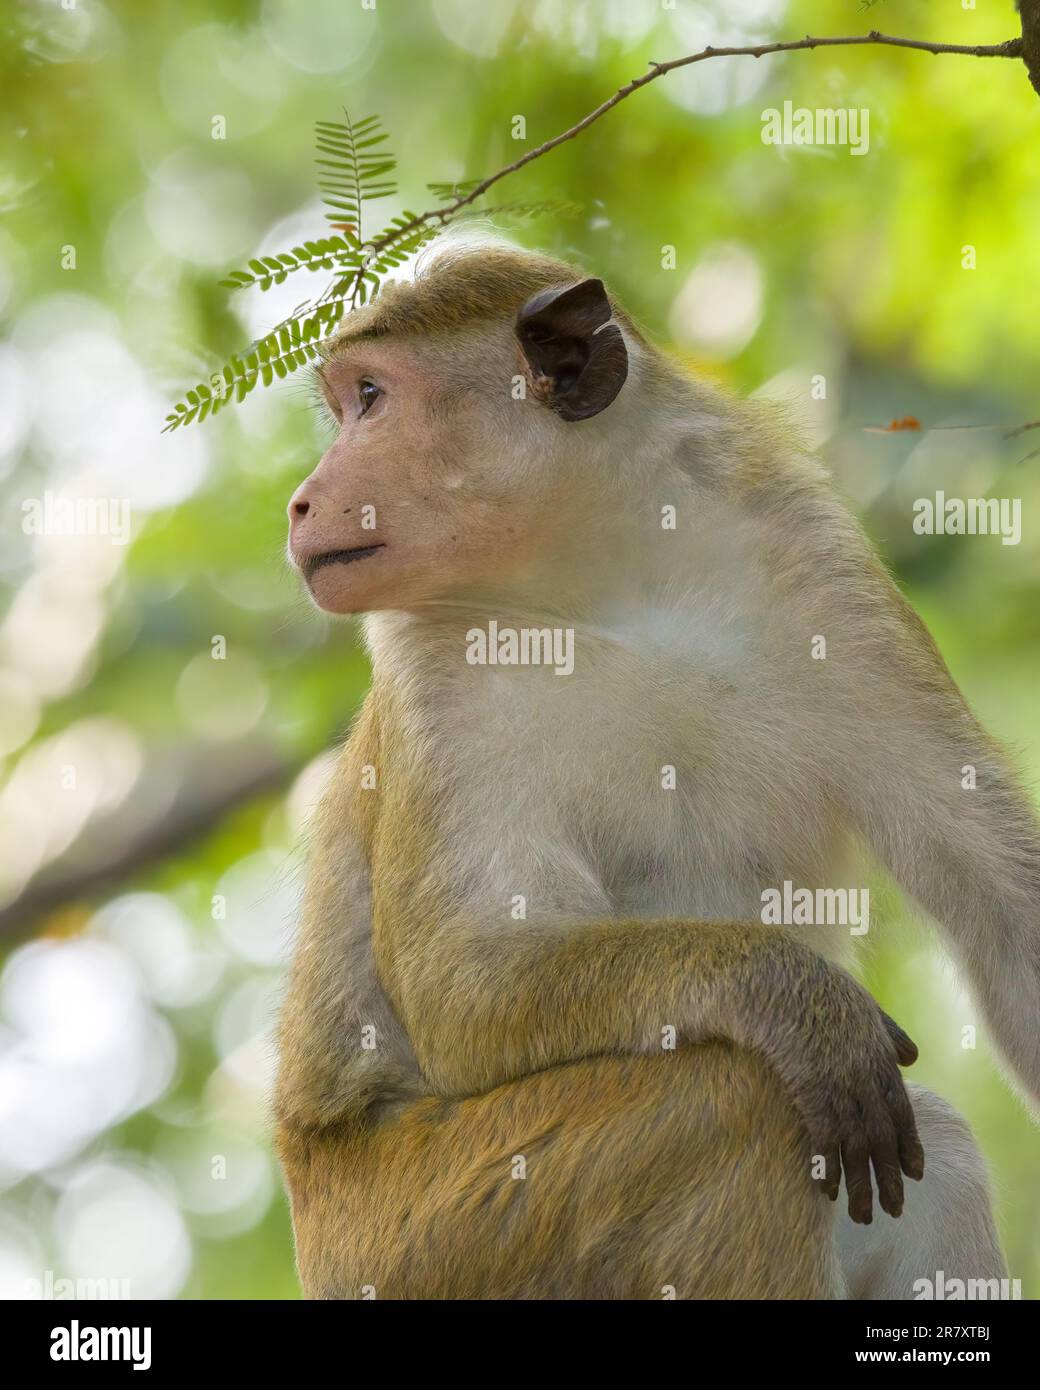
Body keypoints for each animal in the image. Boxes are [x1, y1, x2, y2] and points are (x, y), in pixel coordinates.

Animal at [275, 242, 1032, 1299]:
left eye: (371, 399)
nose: (302, 500)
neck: (610, 579)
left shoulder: (815, 557)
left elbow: (1000, 906)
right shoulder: (433, 669)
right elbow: (468, 978)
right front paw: (798, 1006)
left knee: (937, 1159)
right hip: (423, 1238)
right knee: (733, 1095)